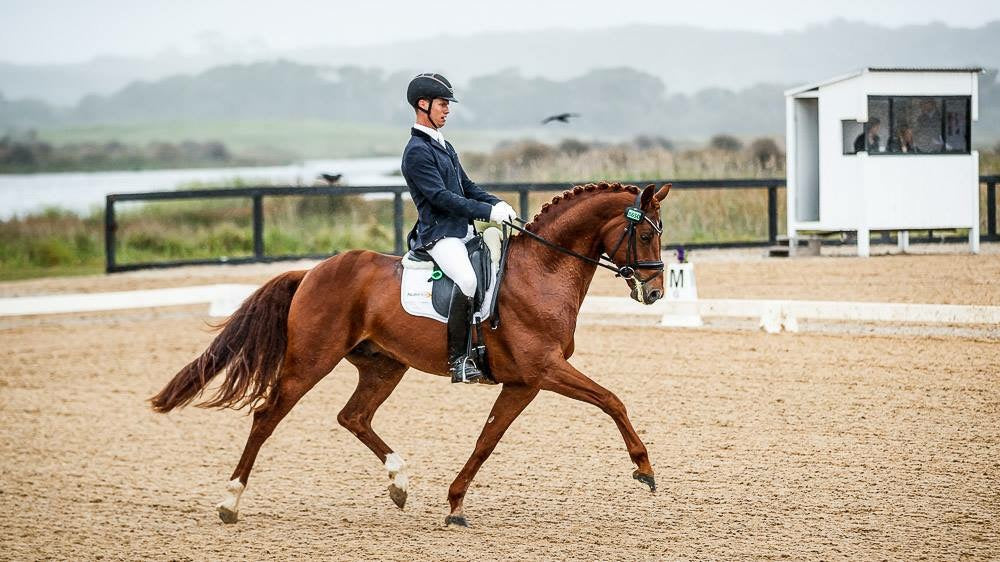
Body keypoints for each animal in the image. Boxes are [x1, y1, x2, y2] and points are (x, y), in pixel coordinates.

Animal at [151, 181, 671, 527]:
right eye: (646, 235)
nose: (655, 293)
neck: (541, 271)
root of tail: (312, 271)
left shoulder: (525, 382)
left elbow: (487, 440)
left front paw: (456, 503)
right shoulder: (545, 369)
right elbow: (611, 400)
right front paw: (644, 469)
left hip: (384, 365)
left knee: (353, 417)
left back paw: (399, 484)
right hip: (311, 361)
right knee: (267, 417)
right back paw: (230, 503)